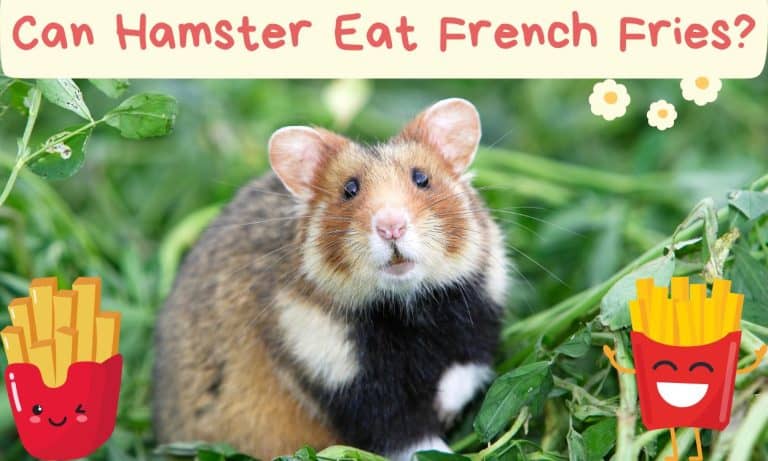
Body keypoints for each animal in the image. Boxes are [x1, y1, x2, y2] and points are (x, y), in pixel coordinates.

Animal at [153, 98, 510, 461]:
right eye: (349, 189)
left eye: (421, 178)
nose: (391, 227)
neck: (405, 304)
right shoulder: (339, 371)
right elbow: (406, 434)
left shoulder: (480, 316)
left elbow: (466, 370)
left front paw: (445, 408)